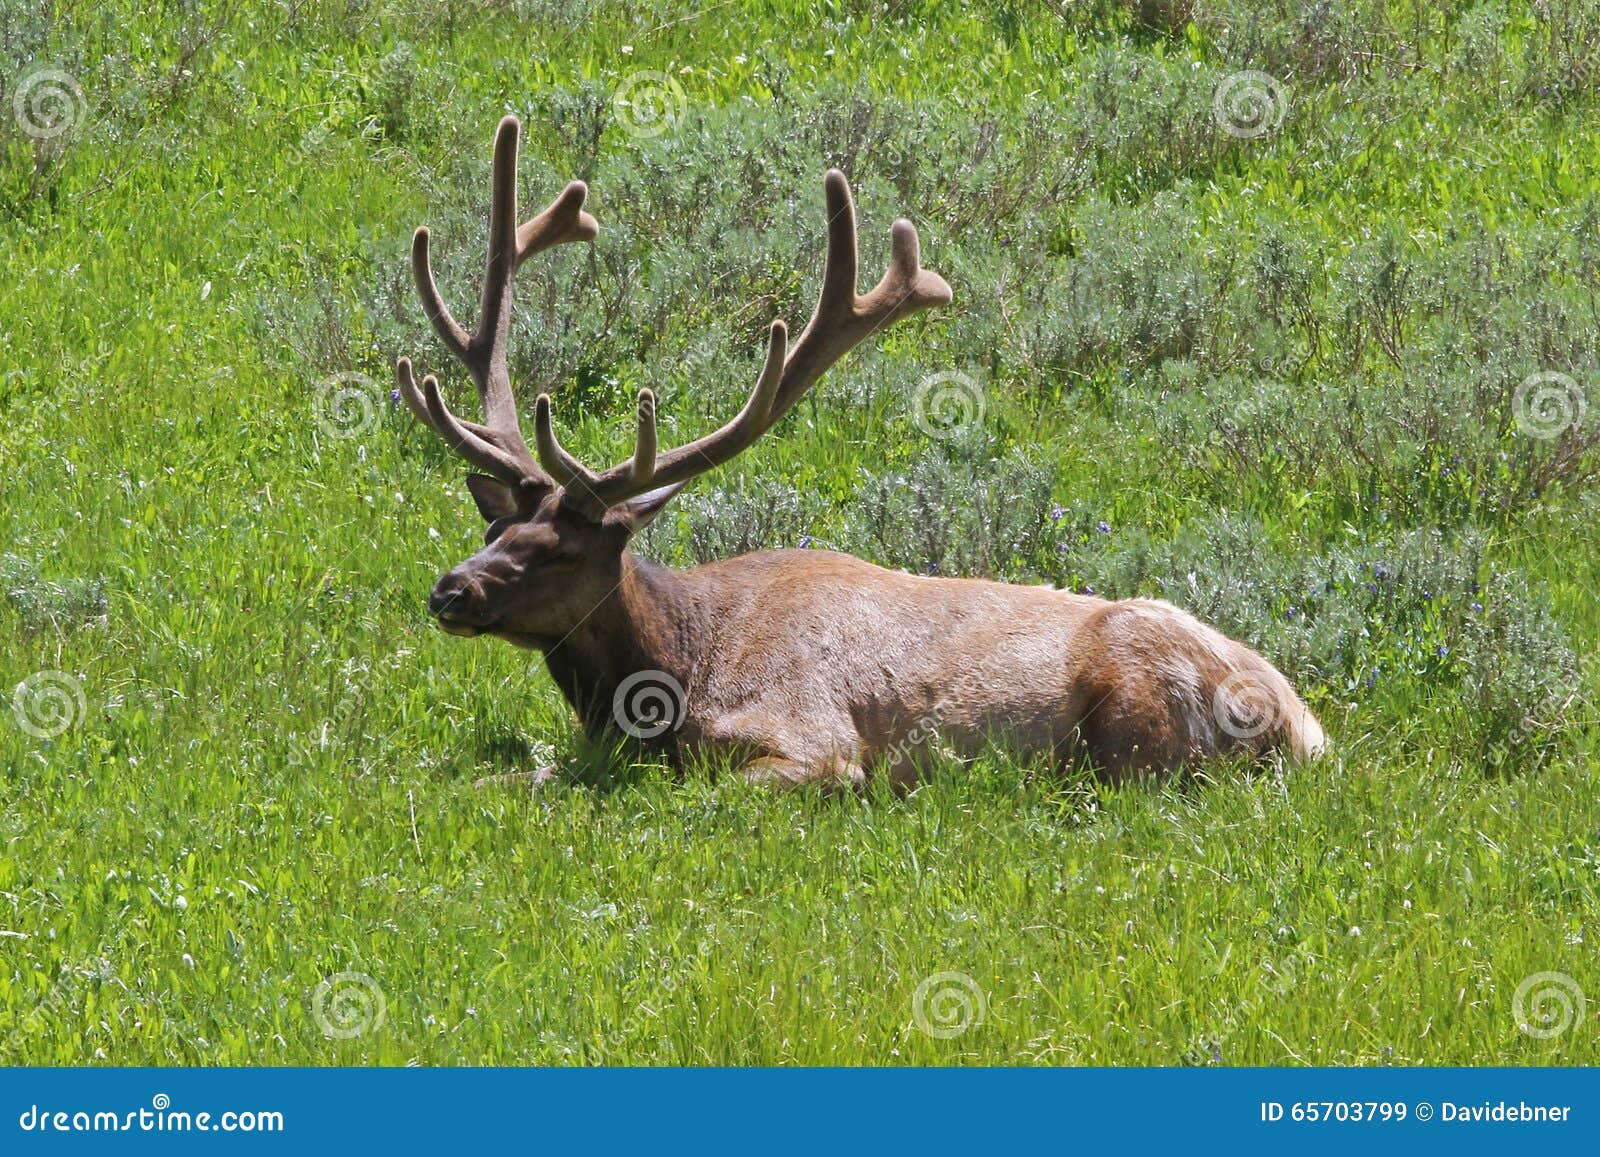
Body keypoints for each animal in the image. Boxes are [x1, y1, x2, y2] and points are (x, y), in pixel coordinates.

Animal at [395, 116, 1327, 790]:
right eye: (494, 531)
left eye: (557, 549)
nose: (448, 589)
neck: (671, 678)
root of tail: (1304, 725)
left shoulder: (816, 739)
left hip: (1139, 720)